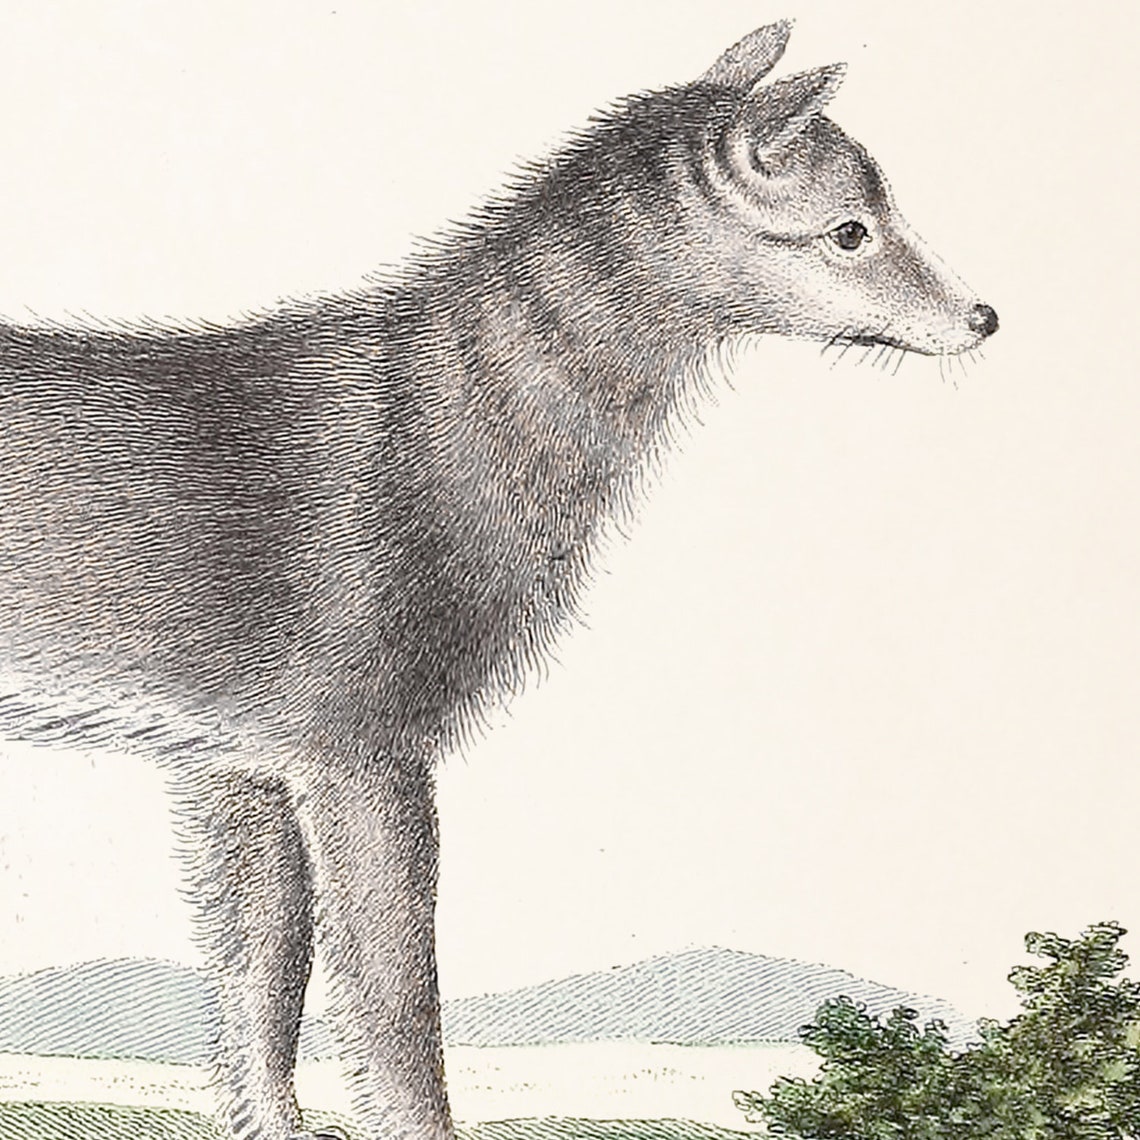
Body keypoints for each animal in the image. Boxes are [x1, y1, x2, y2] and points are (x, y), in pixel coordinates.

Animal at [0, 18, 995, 1140]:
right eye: (851, 231)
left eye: (876, 215)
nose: (985, 316)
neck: (455, 410)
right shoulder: (364, 756)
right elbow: (396, 1015)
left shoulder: (240, 770)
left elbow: (260, 999)